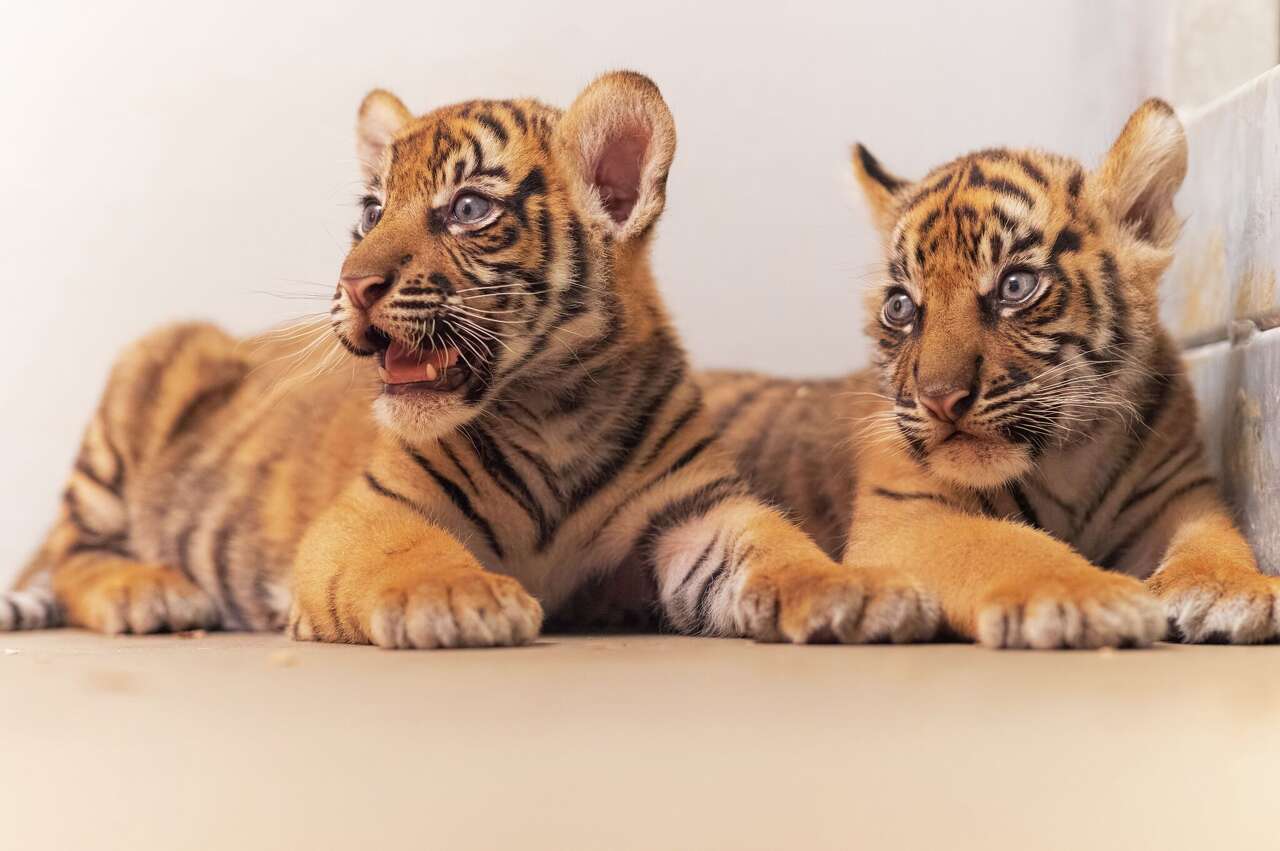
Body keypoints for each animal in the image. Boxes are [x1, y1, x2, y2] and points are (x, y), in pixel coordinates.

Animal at [2, 71, 940, 648]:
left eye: (467, 209)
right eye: (370, 211)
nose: (354, 284)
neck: (557, 407)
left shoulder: (695, 511)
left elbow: (781, 550)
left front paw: (861, 590)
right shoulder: (367, 510)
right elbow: (411, 553)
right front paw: (462, 598)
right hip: (152, 365)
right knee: (66, 551)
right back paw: (150, 590)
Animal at [702, 98, 1279, 648]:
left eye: (1015, 286)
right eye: (900, 307)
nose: (940, 399)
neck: (1068, 458)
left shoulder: (1180, 495)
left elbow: (1216, 538)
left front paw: (1236, 589)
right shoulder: (907, 516)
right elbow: (1010, 544)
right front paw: (1087, 597)